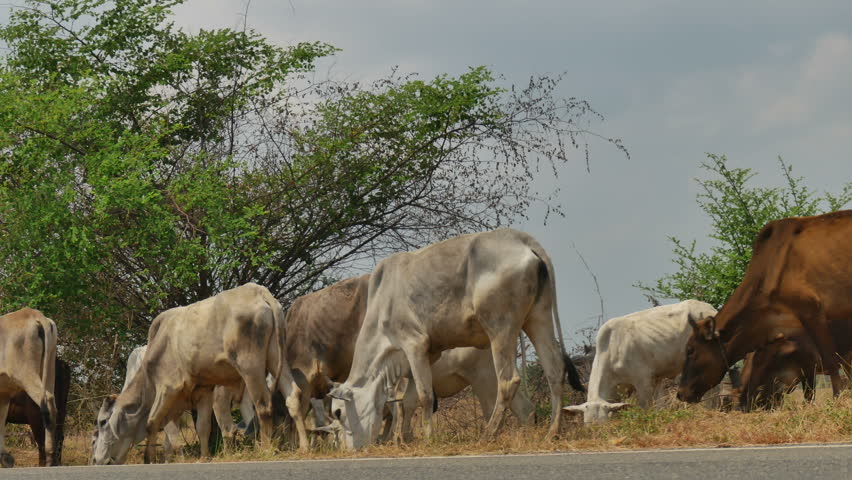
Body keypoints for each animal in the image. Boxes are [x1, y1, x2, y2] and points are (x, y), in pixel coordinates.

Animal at [0, 308, 59, 468]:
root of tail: (35, 315)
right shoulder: (4, 394)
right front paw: (5, 458)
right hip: (49, 370)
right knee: (52, 403)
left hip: (27, 375)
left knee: (46, 403)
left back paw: (49, 458)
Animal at [91, 283, 308, 465]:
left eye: (102, 422)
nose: (96, 460)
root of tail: (260, 292)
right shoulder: (203, 390)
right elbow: (203, 427)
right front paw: (204, 457)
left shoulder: (168, 388)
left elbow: (152, 423)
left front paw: (149, 459)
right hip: (276, 358)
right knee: (293, 397)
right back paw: (304, 446)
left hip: (250, 366)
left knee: (263, 405)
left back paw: (266, 449)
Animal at [328, 229, 586, 449]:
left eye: (339, 412)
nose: (349, 449)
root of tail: (520, 239)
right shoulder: (426, 357)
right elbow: (408, 402)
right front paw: (405, 438)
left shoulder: (414, 345)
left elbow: (424, 396)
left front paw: (428, 438)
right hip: (538, 318)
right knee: (554, 370)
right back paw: (551, 432)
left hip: (500, 328)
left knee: (508, 381)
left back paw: (489, 434)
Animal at [563, 300, 717, 423]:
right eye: (587, 425)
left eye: (603, 424)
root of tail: (709, 308)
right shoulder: (656, 378)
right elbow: (659, 405)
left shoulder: (643, 380)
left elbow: (646, 408)